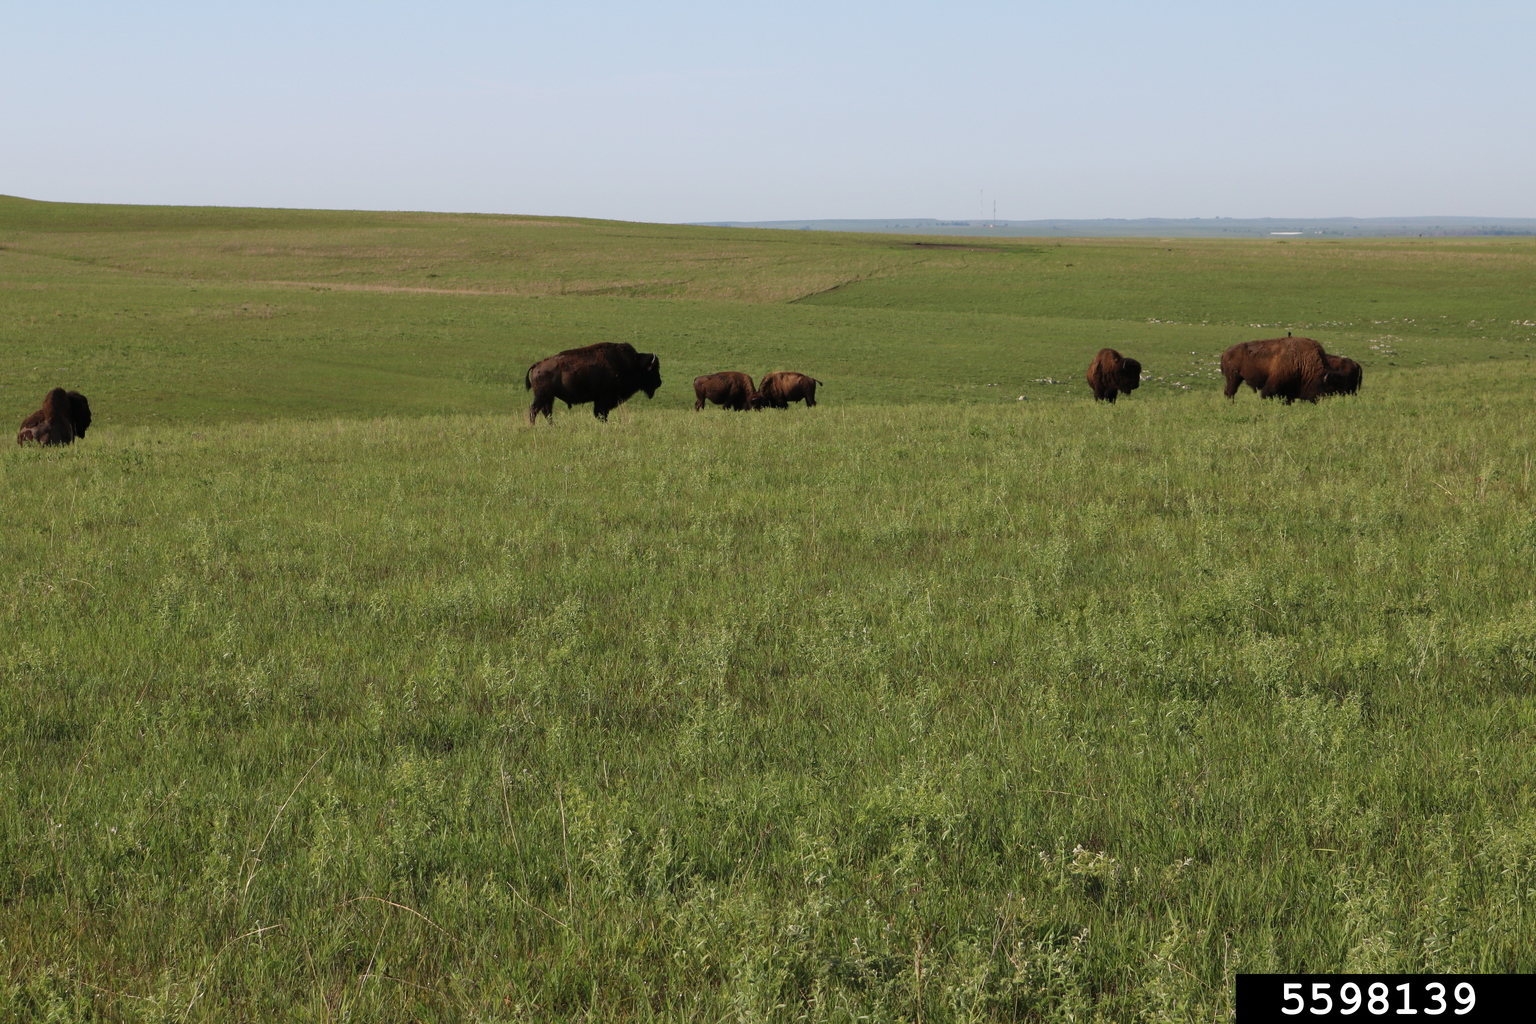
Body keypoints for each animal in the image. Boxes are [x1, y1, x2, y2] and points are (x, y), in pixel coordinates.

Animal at [525, 342, 662, 424]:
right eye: (653, 369)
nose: (659, 382)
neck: (633, 364)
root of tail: (537, 364)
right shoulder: (604, 399)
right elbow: (601, 413)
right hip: (542, 396)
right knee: (534, 409)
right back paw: (533, 426)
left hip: (549, 397)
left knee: (546, 411)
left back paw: (553, 426)